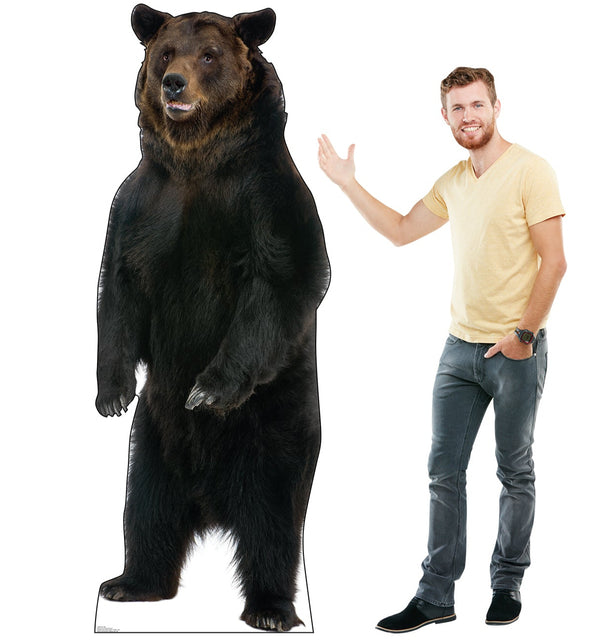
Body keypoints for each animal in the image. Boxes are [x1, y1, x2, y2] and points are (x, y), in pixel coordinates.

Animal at [95, 4, 330, 632]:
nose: (174, 84)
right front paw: (111, 392)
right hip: (153, 439)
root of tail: (211, 502)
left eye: (209, 55)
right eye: (165, 53)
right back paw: (130, 582)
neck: (197, 160)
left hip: (277, 428)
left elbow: (278, 283)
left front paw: (207, 389)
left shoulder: (265, 201)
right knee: (146, 508)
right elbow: (118, 290)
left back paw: (271, 609)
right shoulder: (142, 204)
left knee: (273, 522)